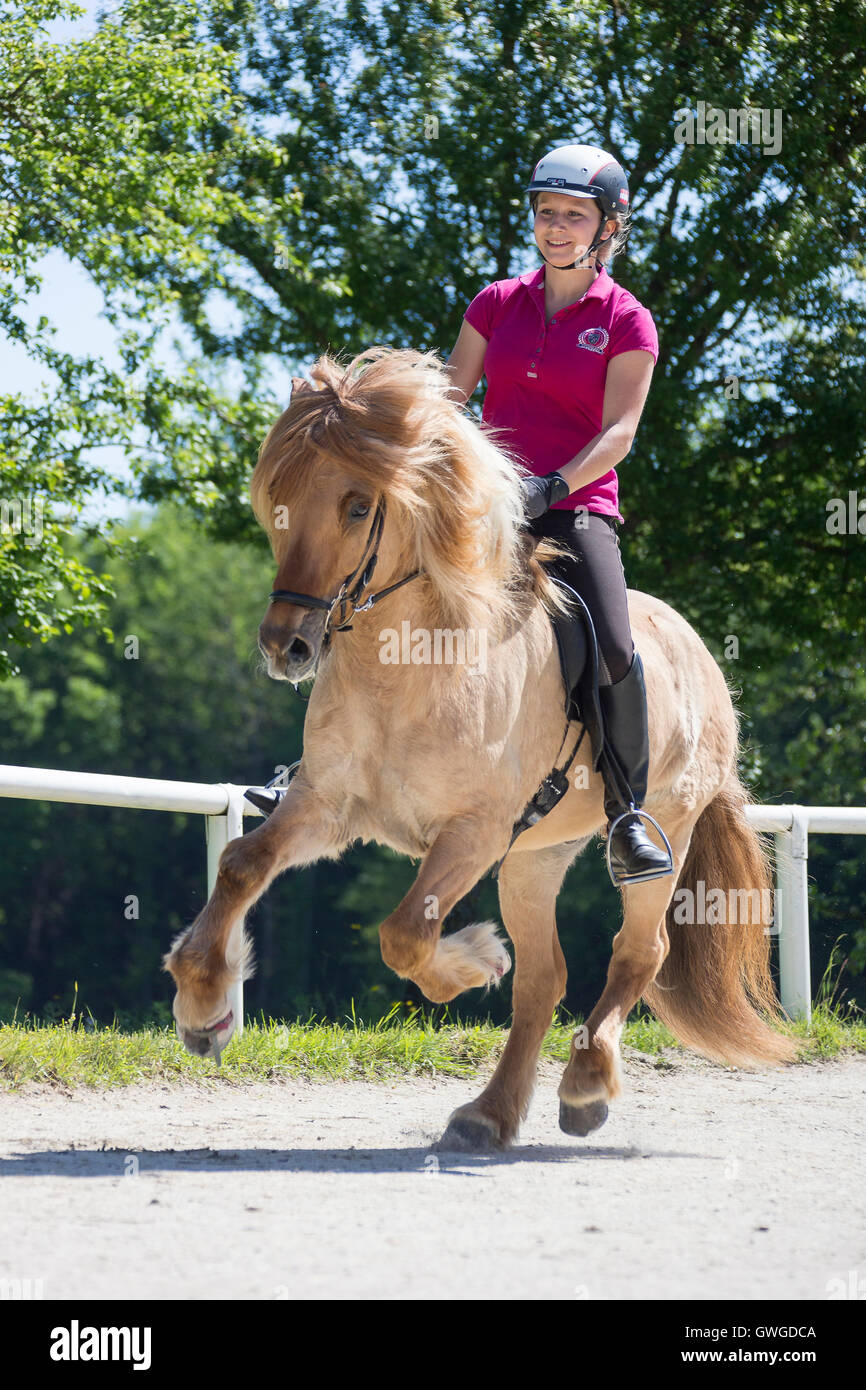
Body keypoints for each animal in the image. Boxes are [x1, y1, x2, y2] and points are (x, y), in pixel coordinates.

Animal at [164, 344, 797, 1151]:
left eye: (358, 507)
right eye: (277, 502)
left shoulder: (472, 831)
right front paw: (204, 1002)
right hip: (535, 858)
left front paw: (472, 961)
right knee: (545, 978)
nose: (286, 647)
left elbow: (405, 932)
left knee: (639, 951)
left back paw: (586, 1086)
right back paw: (488, 1115)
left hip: (665, 832)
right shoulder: (328, 805)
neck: (408, 664)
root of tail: (705, 659)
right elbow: (244, 863)